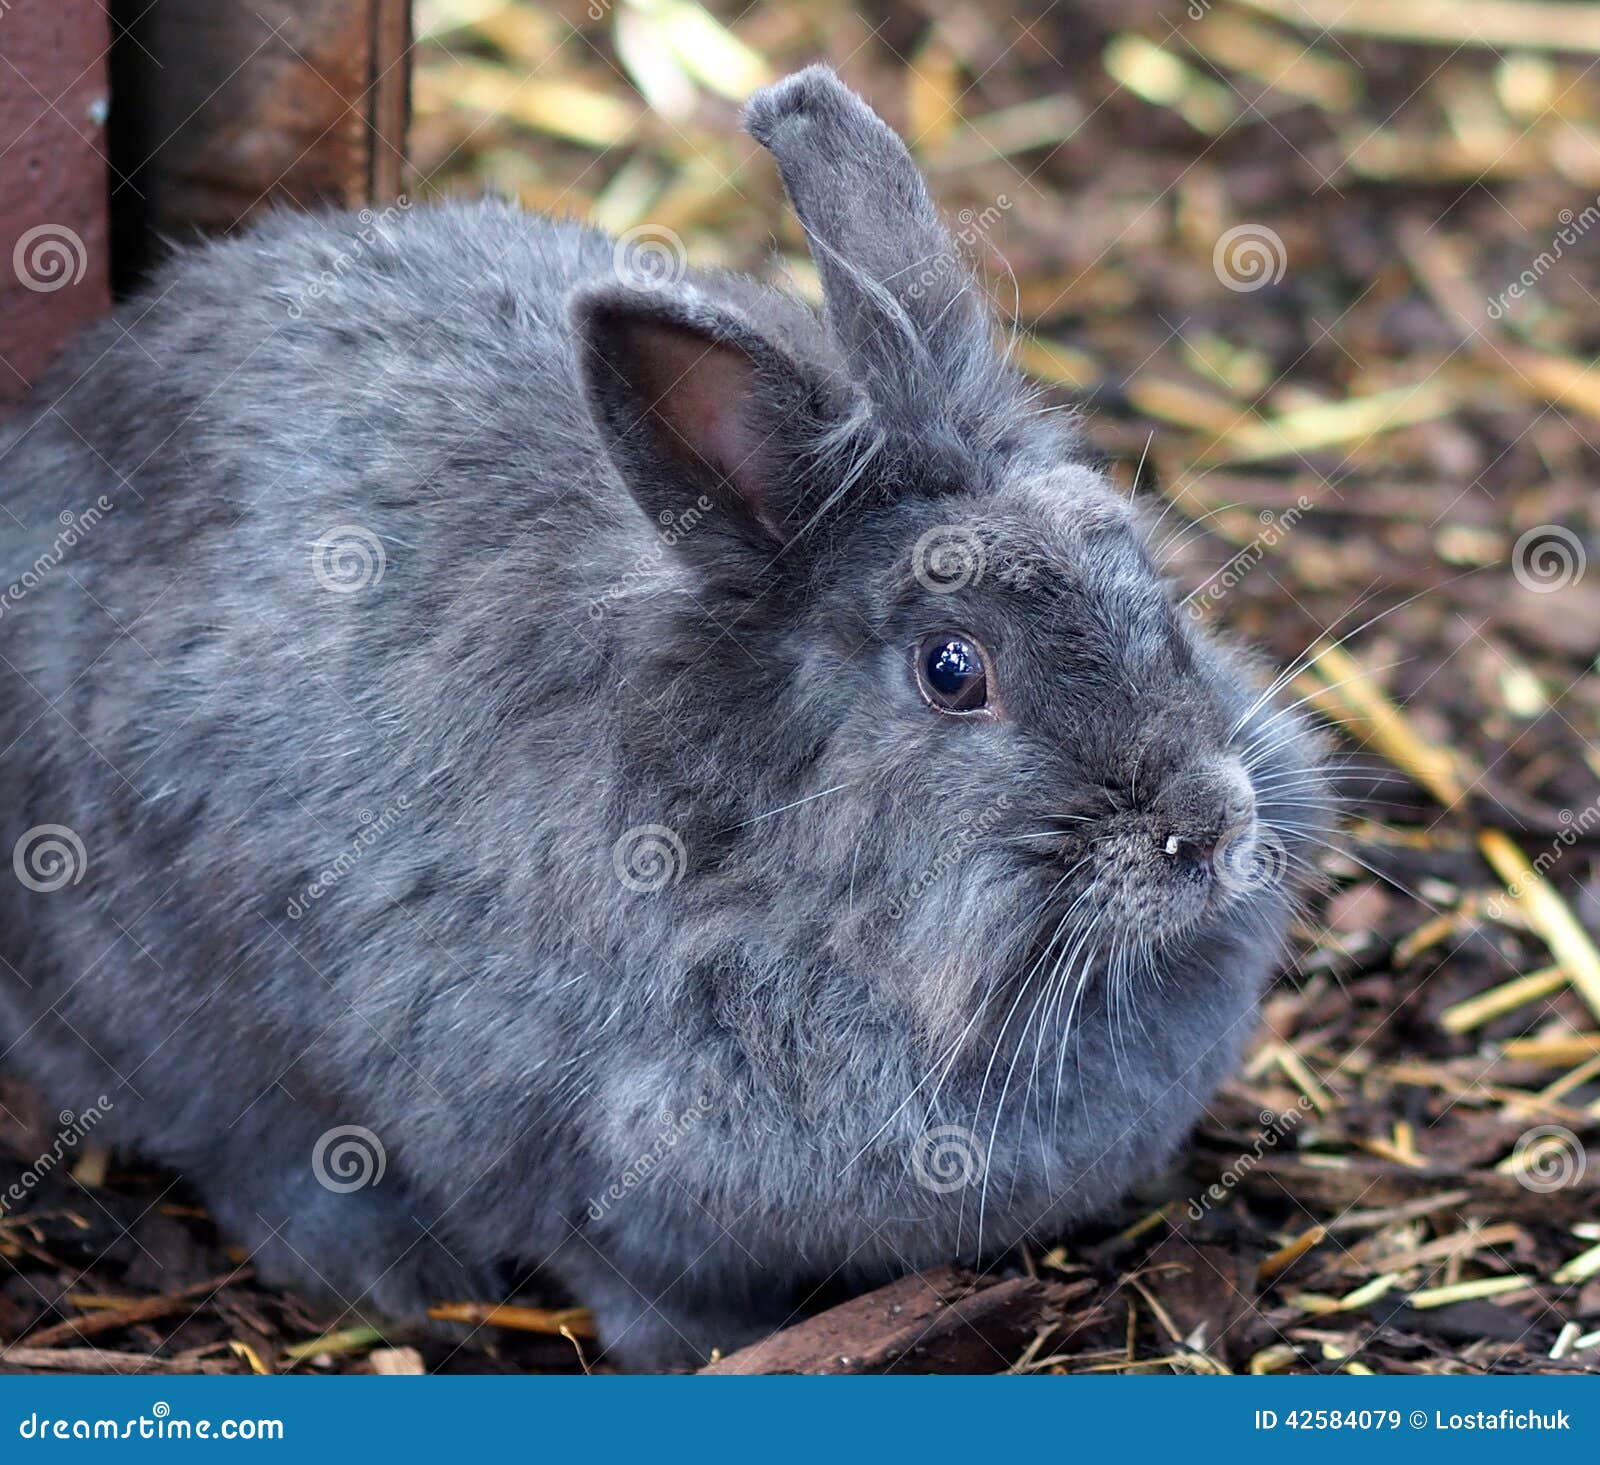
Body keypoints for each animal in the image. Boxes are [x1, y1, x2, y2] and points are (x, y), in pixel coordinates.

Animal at [0, 66, 1328, 1371]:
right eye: (952, 670)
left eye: (1136, 566)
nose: (1208, 826)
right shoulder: (554, 1149)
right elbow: (622, 1272)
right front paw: (710, 1345)